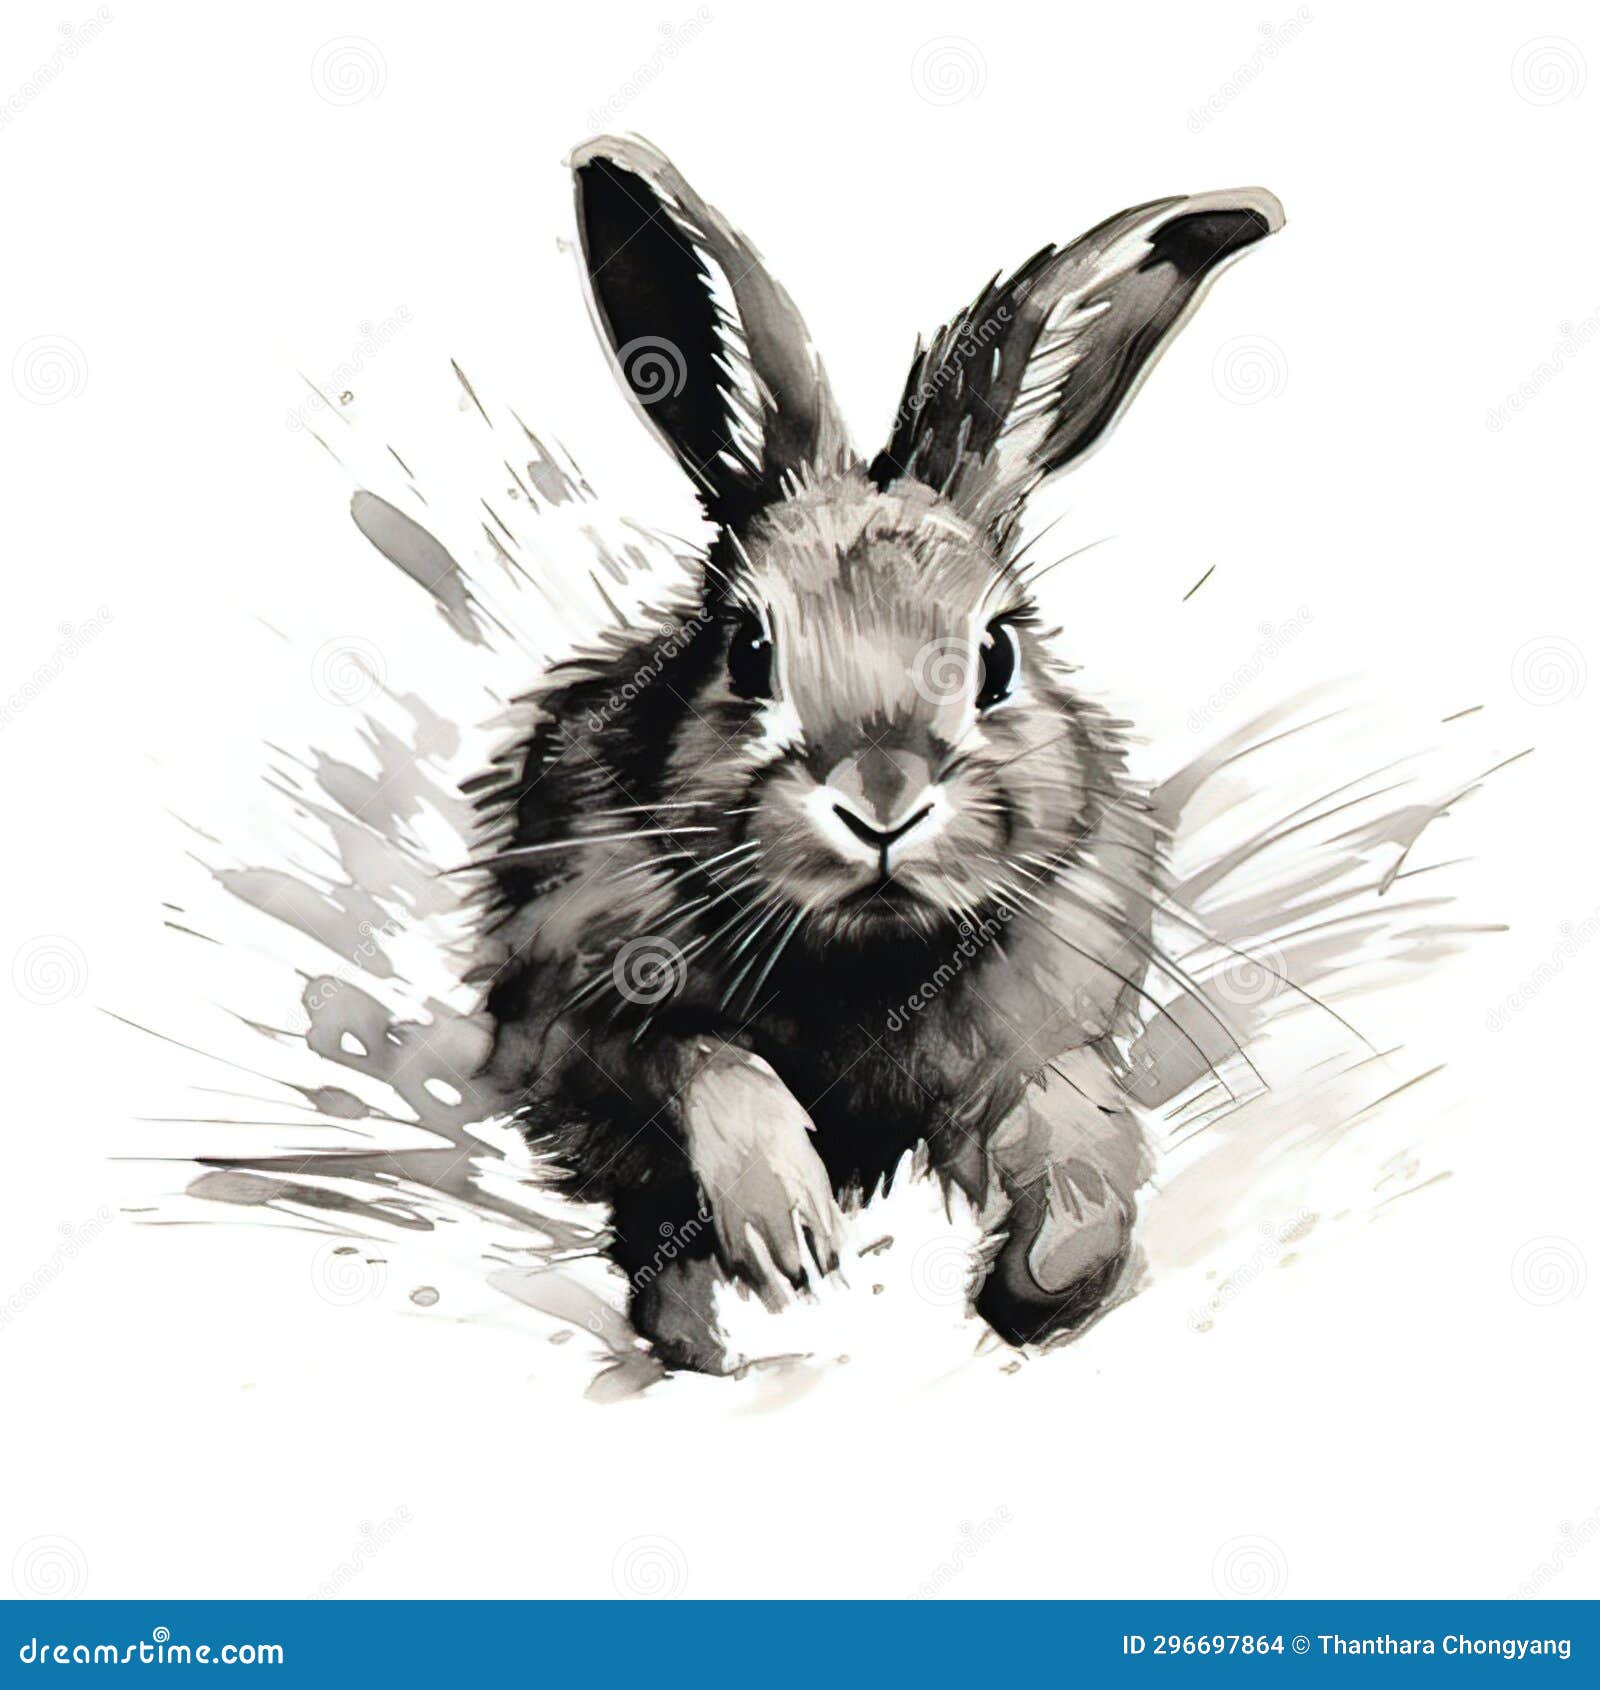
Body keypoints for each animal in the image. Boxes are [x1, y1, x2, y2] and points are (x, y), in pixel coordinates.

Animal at [472, 134, 1283, 1374]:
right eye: (747, 648)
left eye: (997, 653)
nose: (883, 800)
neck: (864, 955)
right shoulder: (575, 1022)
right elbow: (704, 1062)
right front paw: (788, 1233)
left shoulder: (1038, 1037)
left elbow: (1078, 1123)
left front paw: (1047, 1279)